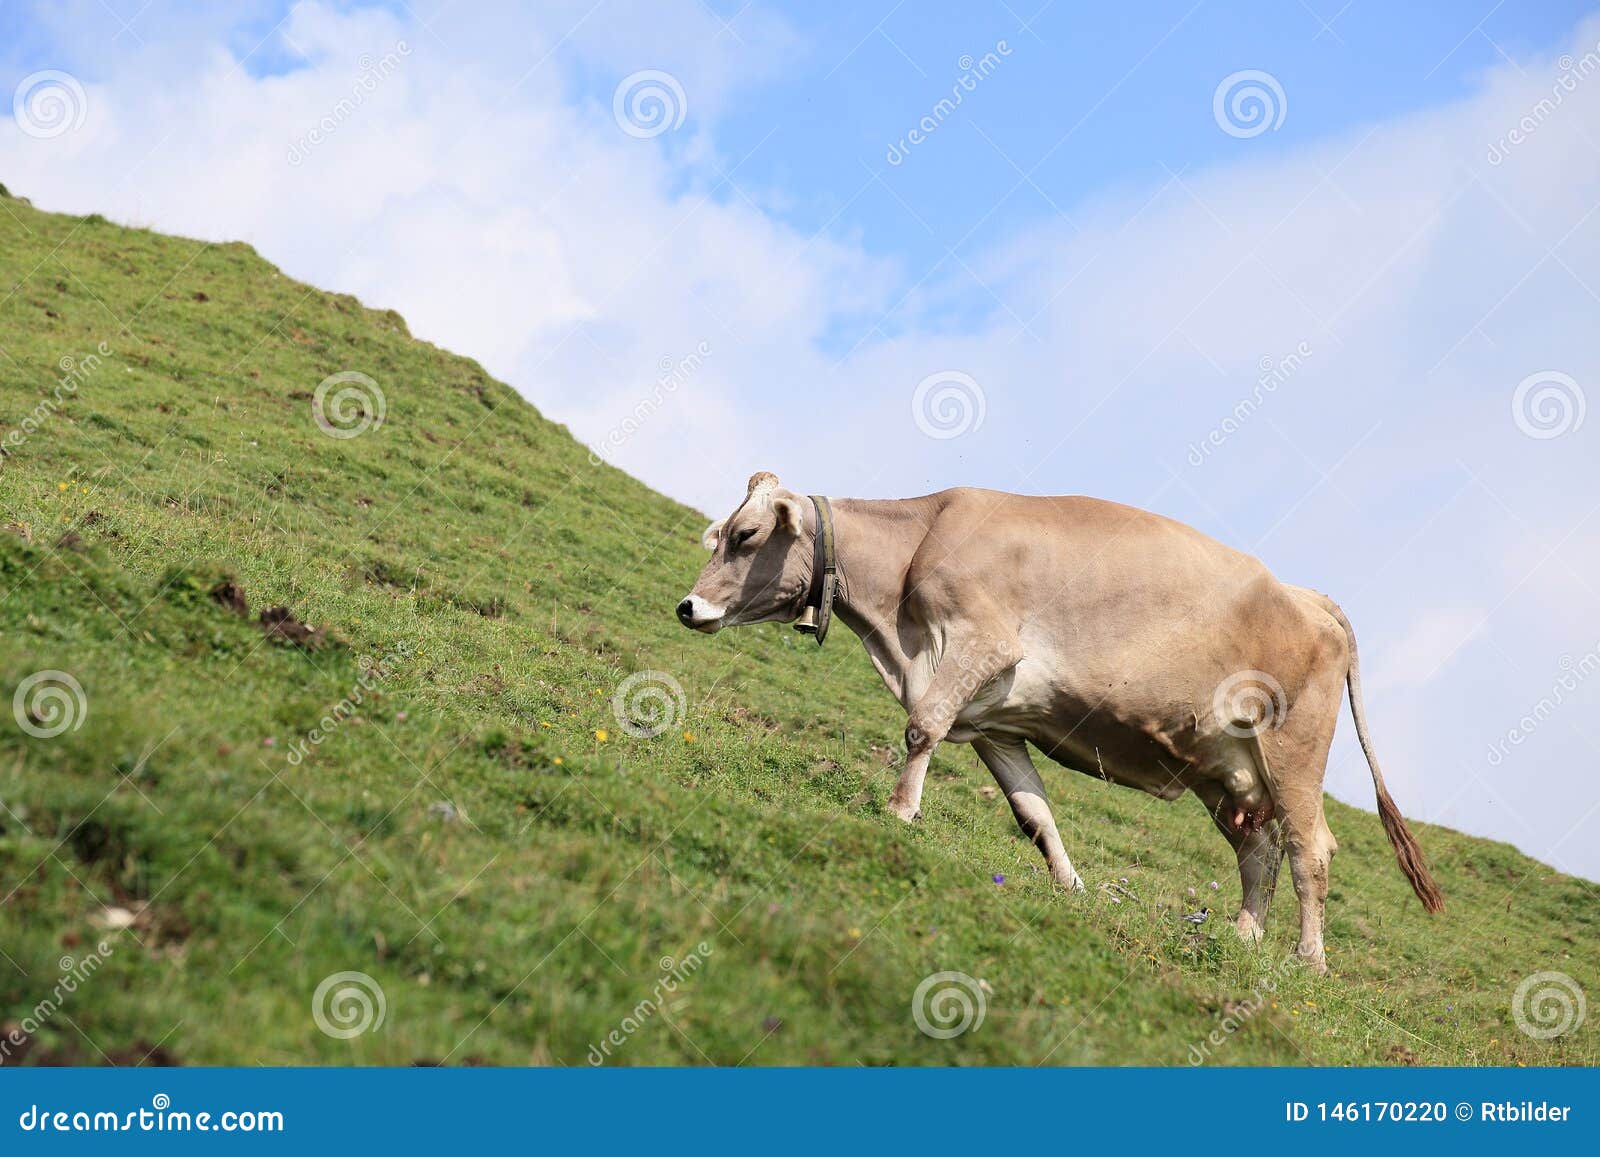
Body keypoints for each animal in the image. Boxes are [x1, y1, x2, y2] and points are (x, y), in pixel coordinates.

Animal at [677, 472, 1443, 971]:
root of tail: (1306, 594)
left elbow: (922, 726)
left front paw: (898, 811)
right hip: (1229, 773)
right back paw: (1242, 936)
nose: (688, 607)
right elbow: (1033, 812)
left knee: (1312, 848)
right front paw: (1071, 886)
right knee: (1260, 850)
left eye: (745, 535)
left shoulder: (979, 644)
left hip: (1293, 752)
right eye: (718, 536)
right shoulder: (995, 723)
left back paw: (1307, 959)